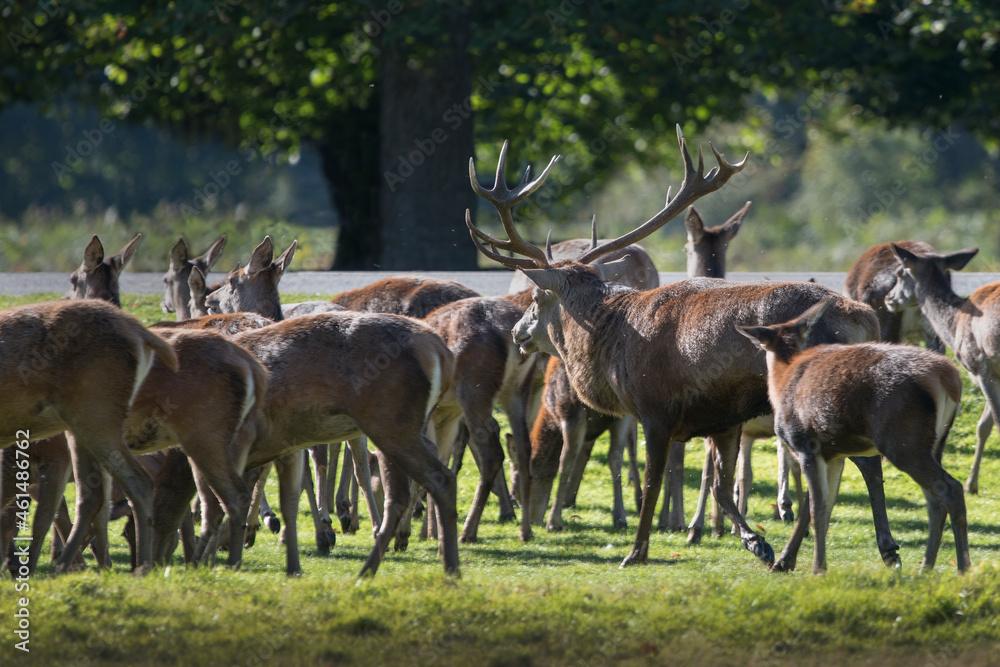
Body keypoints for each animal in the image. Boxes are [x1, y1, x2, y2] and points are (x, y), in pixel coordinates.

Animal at [465, 129, 901, 569]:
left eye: (537, 297)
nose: (517, 332)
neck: (609, 342)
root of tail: (863, 315)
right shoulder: (724, 418)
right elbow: (720, 486)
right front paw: (754, 541)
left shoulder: (655, 409)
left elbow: (653, 484)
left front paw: (636, 551)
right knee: (846, 467)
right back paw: (817, 553)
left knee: (858, 464)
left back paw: (862, 548)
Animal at [736, 301, 969, 573]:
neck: (781, 379)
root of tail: (950, 378)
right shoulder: (834, 455)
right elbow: (820, 508)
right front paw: (786, 561)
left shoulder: (806, 446)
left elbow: (817, 510)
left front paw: (817, 569)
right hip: (933, 444)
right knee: (934, 501)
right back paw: (926, 568)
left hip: (904, 443)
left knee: (950, 488)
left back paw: (962, 568)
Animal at [884, 243, 992, 495]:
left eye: (900, 273)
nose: (888, 298)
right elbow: (986, 424)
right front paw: (972, 484)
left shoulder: (981, 366)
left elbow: (986, 424)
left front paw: (971, 485)